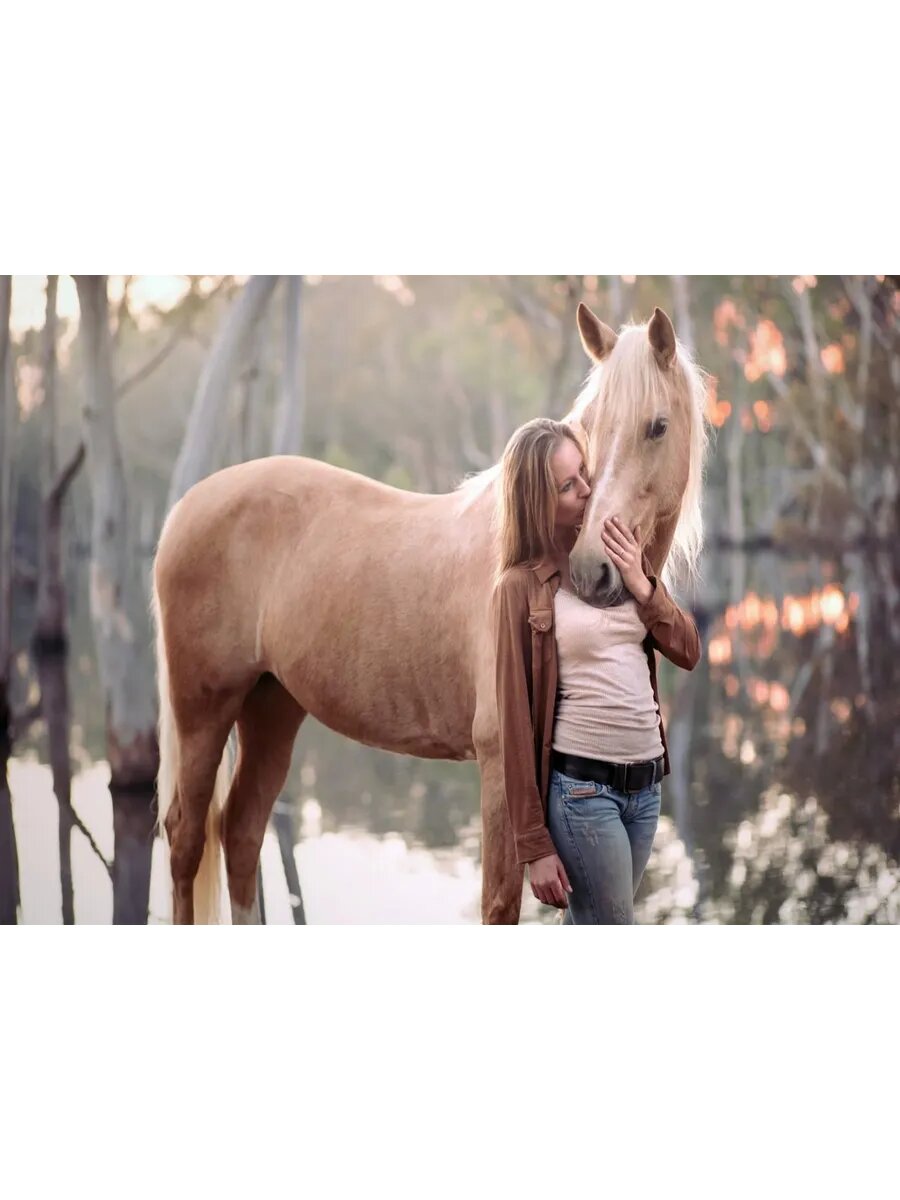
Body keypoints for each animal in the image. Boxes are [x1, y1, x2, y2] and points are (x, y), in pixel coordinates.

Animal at [152, 303, 710, 924]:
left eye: (657, 426)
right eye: (590, 426)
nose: (593, 571)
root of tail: (185, 508)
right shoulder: (502, 765)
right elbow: (499, 904)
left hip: (271, 705)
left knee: (242, 831)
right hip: (204, 710)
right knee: (187, 838)